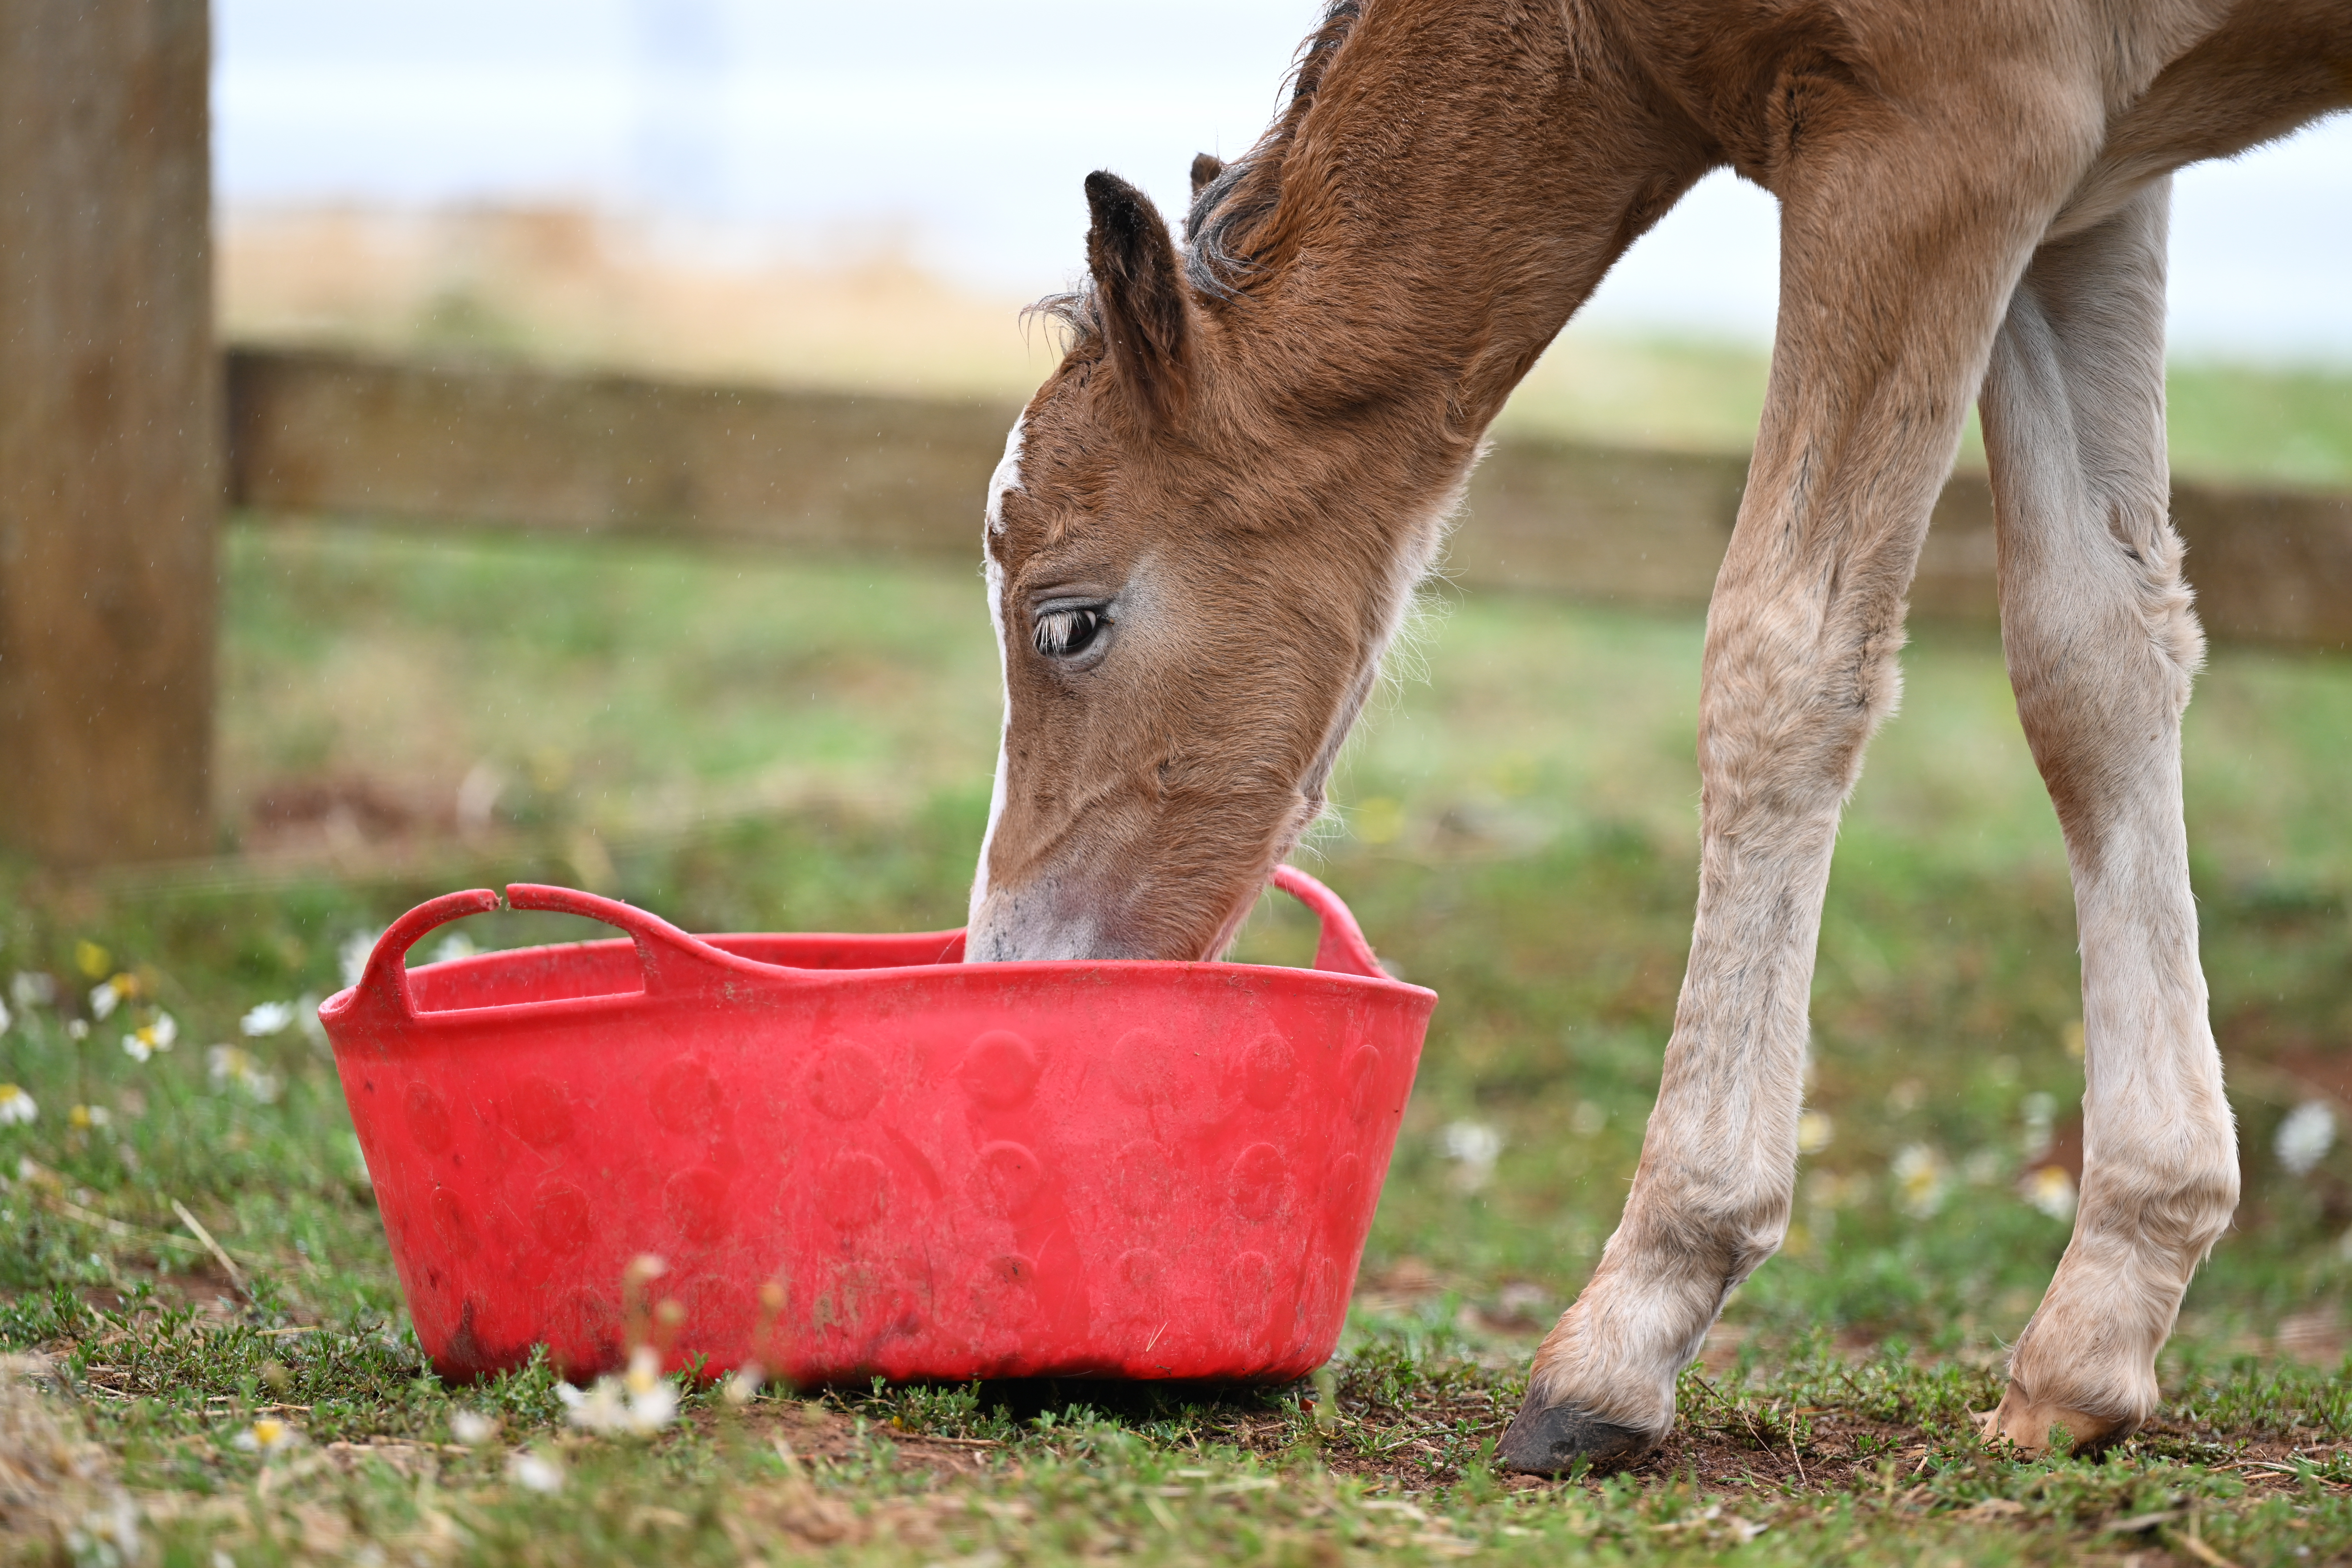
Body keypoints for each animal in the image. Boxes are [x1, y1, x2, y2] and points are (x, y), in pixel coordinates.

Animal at [963, 0, 2352, 1472]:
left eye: (1068, 623)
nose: (1008, 967)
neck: (1588, 35)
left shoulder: (1943, 137)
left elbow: (1785, 653)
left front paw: (1632, 1323)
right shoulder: (2087, 179)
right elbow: (2092, 653)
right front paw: (2106, 1313)